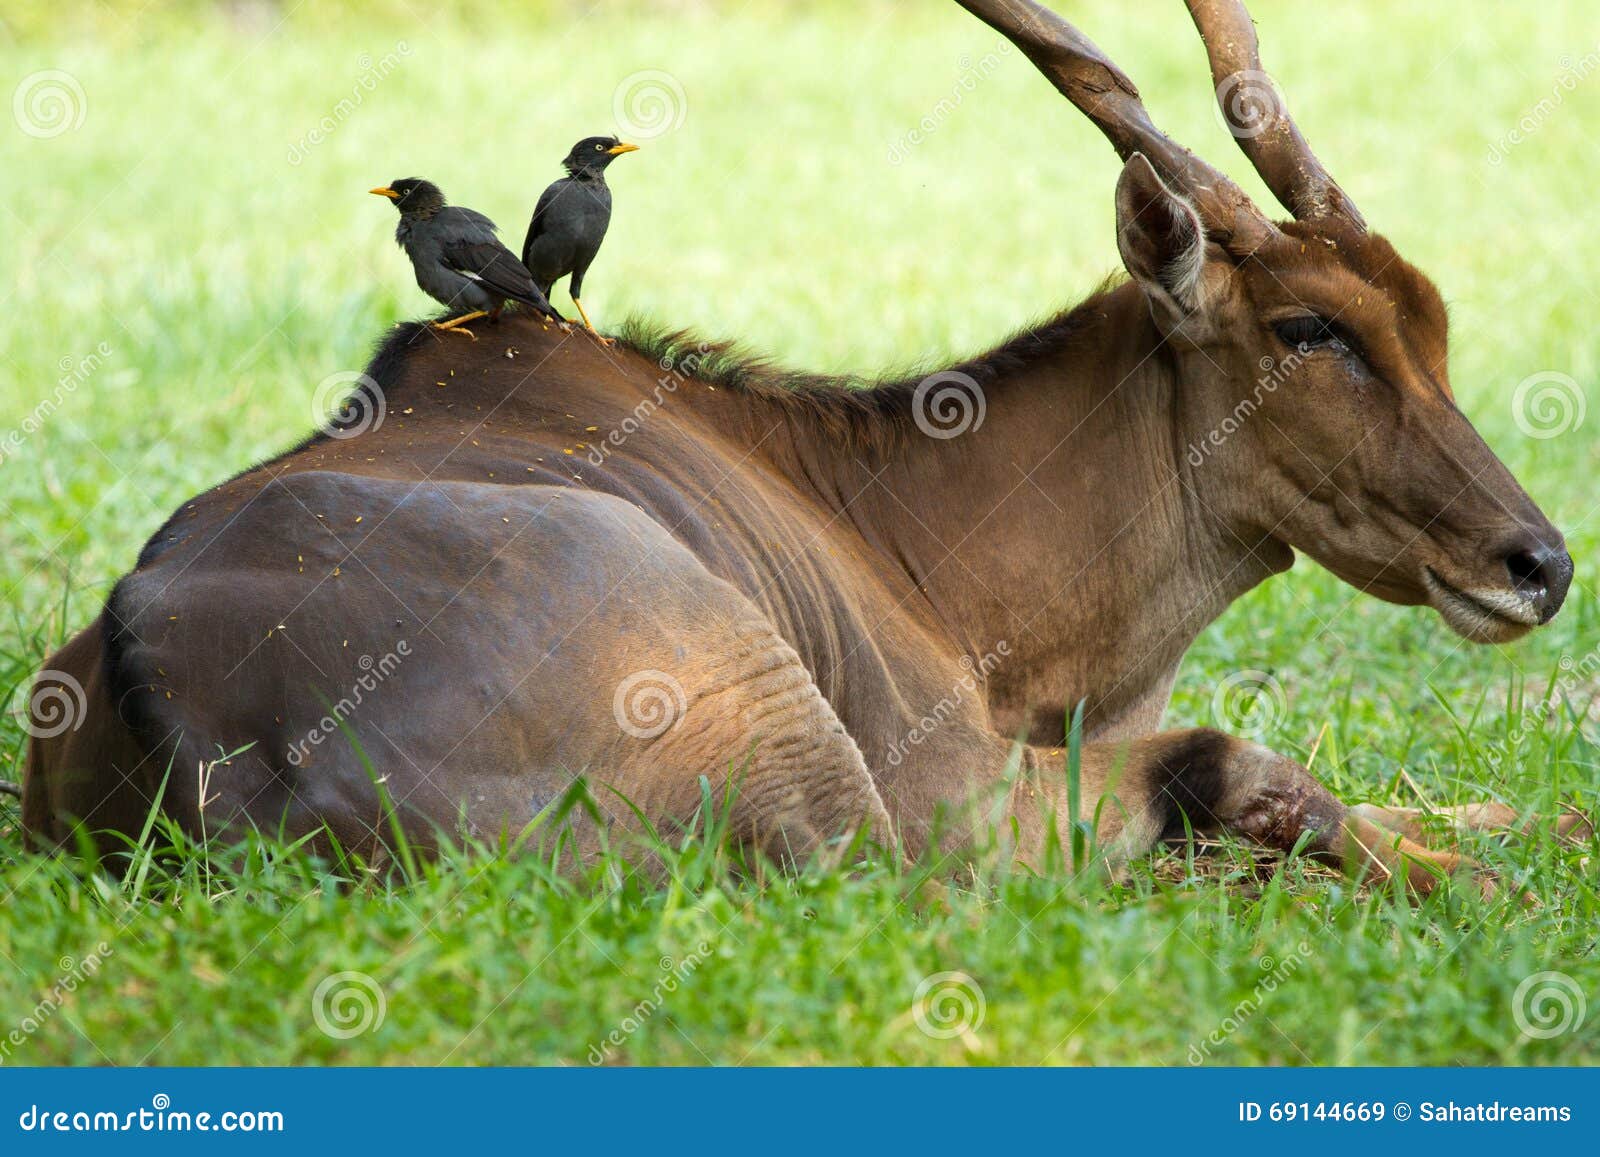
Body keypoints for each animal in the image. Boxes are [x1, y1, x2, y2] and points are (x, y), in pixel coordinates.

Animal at [23, 0, 1585, 892]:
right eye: (1314, 328)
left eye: (1433, 319)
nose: (1538, 562)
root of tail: (184, 703)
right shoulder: (964, 805)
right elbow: (1255, 769)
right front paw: (1480, 883)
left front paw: (1539, 829)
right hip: (837, 798)